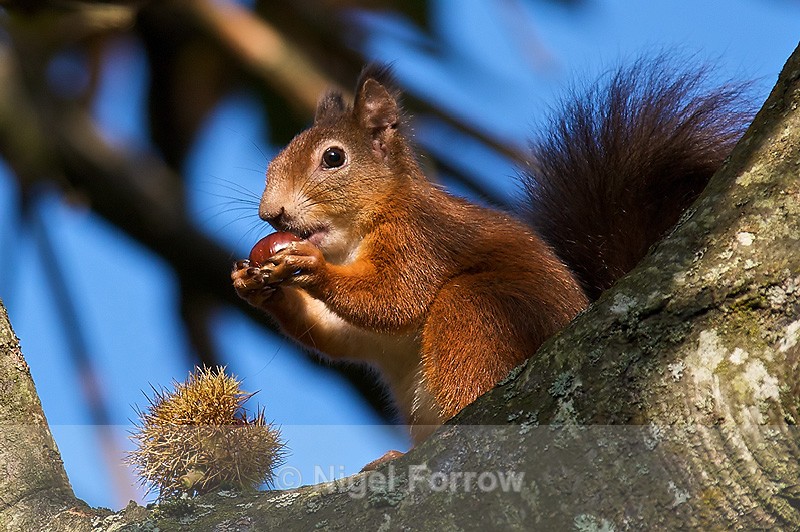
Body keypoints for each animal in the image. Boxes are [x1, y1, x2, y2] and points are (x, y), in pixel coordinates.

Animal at [231, 58, 749, 444]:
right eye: (277, 157)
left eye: (334, 158)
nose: (270, 213)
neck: (356, 234)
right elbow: (344, 334)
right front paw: (255, 286)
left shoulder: (422, 237)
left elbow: (396, 299)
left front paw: (310, 267)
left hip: (478, 315)